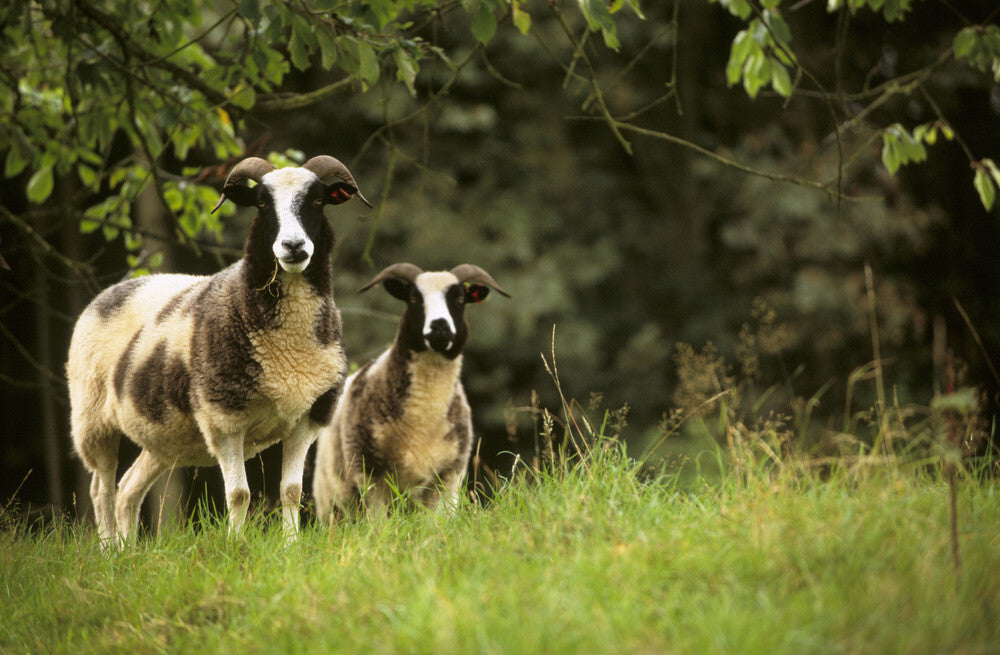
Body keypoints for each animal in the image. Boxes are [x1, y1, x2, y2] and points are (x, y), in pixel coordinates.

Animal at [67, 155, 371, 546]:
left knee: (128, 489)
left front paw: (291, 546)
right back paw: (109, 550)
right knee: (100, 489)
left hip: (164, 438)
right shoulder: (223, 419)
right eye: (262, 203)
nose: (293, 247)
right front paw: (237, 545)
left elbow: (290, 491)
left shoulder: (306, 417)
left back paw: (129, 550)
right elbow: (239, 494)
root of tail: (111, 291)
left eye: (318, 200)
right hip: (92, 419)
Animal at [312, 263, 509, 523]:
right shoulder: (370, 475)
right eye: (415, 298)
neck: (422, 421)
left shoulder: (449, 478)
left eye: (459, 298)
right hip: (334, 501)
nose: (439, 327)